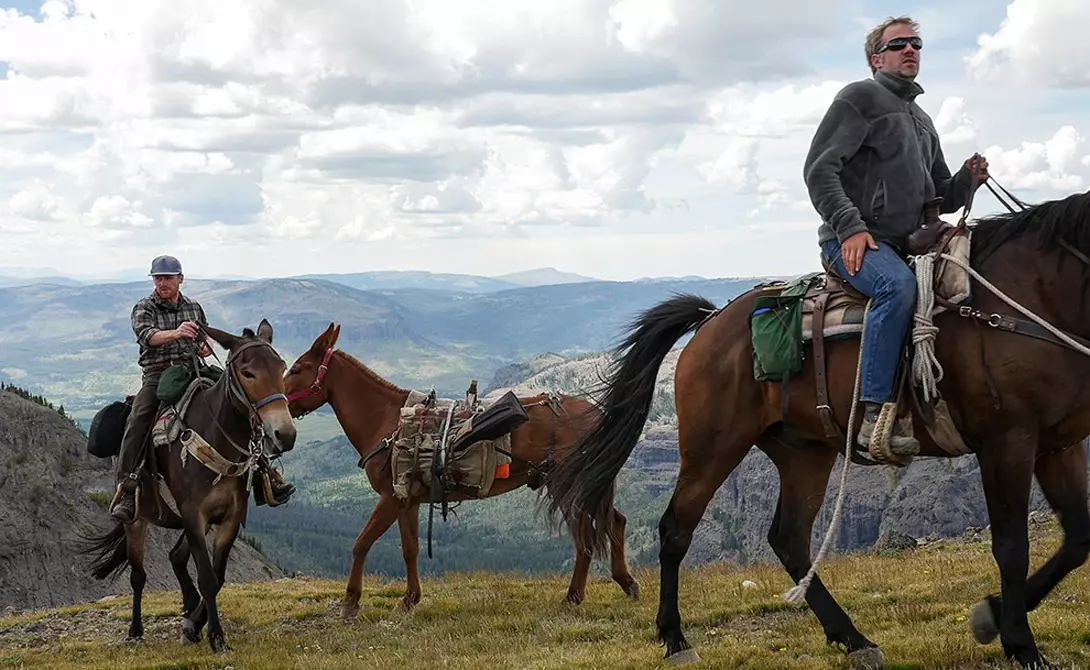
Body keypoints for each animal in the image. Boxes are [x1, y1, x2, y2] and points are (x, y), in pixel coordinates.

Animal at [82, 322, 294, 653]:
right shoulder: (194, 515)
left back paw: (190, 609)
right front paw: (216, 637)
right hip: (137, 520)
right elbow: (208, 578)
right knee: (138, 576)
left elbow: (218, 576)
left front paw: (195, 624)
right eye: (248, 373)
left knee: (176, 557)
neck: (214, 437)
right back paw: (136, 630)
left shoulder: (229, 517)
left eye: (282, 367)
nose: (285, 435)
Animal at [281, 322, 640, 623]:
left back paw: (574, 596)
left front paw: (351, 601)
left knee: (586, 538)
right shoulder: (407, 500)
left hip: (569, 486)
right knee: (613, 523)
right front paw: (410, 599)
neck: (388, 421)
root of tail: (596, 414)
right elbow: (410, 550)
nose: (277, 405)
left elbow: (361, 543)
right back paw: (624, 582)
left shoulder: (390, 498)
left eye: (297, 368)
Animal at [545, 189, 1090, 670]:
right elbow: (1012, 547)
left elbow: (1077, 539)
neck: (1031, 296)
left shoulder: (1058, 445)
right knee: (676, 529)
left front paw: (993, 617)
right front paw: (1019, 643)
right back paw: (676, 639)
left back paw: (853, 639)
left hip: (804, 451)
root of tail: (711, 320)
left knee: (789, 537)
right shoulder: (1007, 443)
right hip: (711, 448)